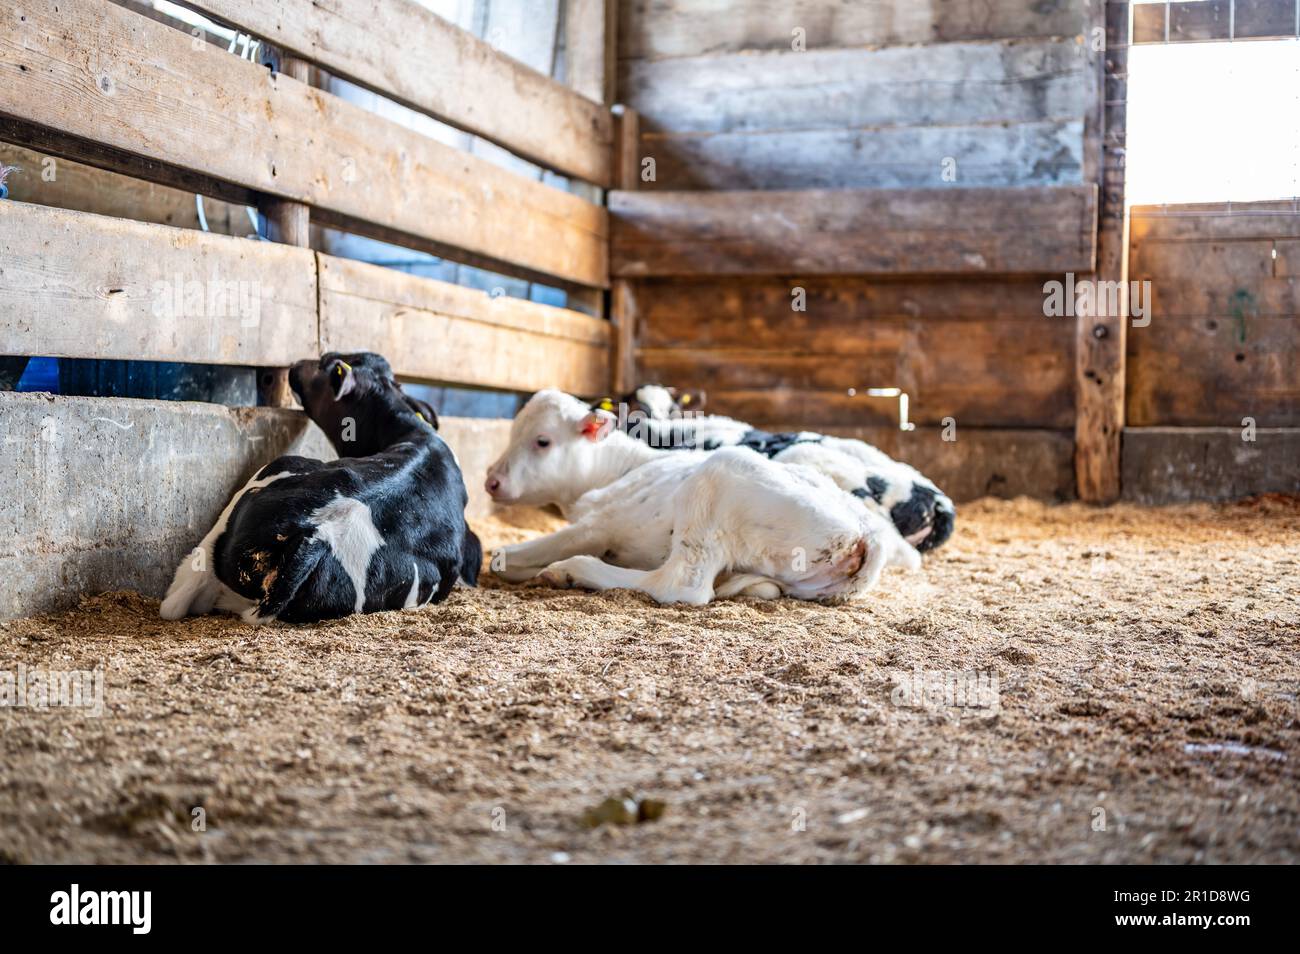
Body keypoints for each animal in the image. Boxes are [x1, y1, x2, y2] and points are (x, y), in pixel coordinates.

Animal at [483, 389, 919, 605]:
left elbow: (502, 558)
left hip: (716, 484)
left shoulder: (599, 526)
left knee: (681, 584)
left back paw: (571, 571)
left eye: (542, 441)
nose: (491, 481)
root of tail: (868, 532)